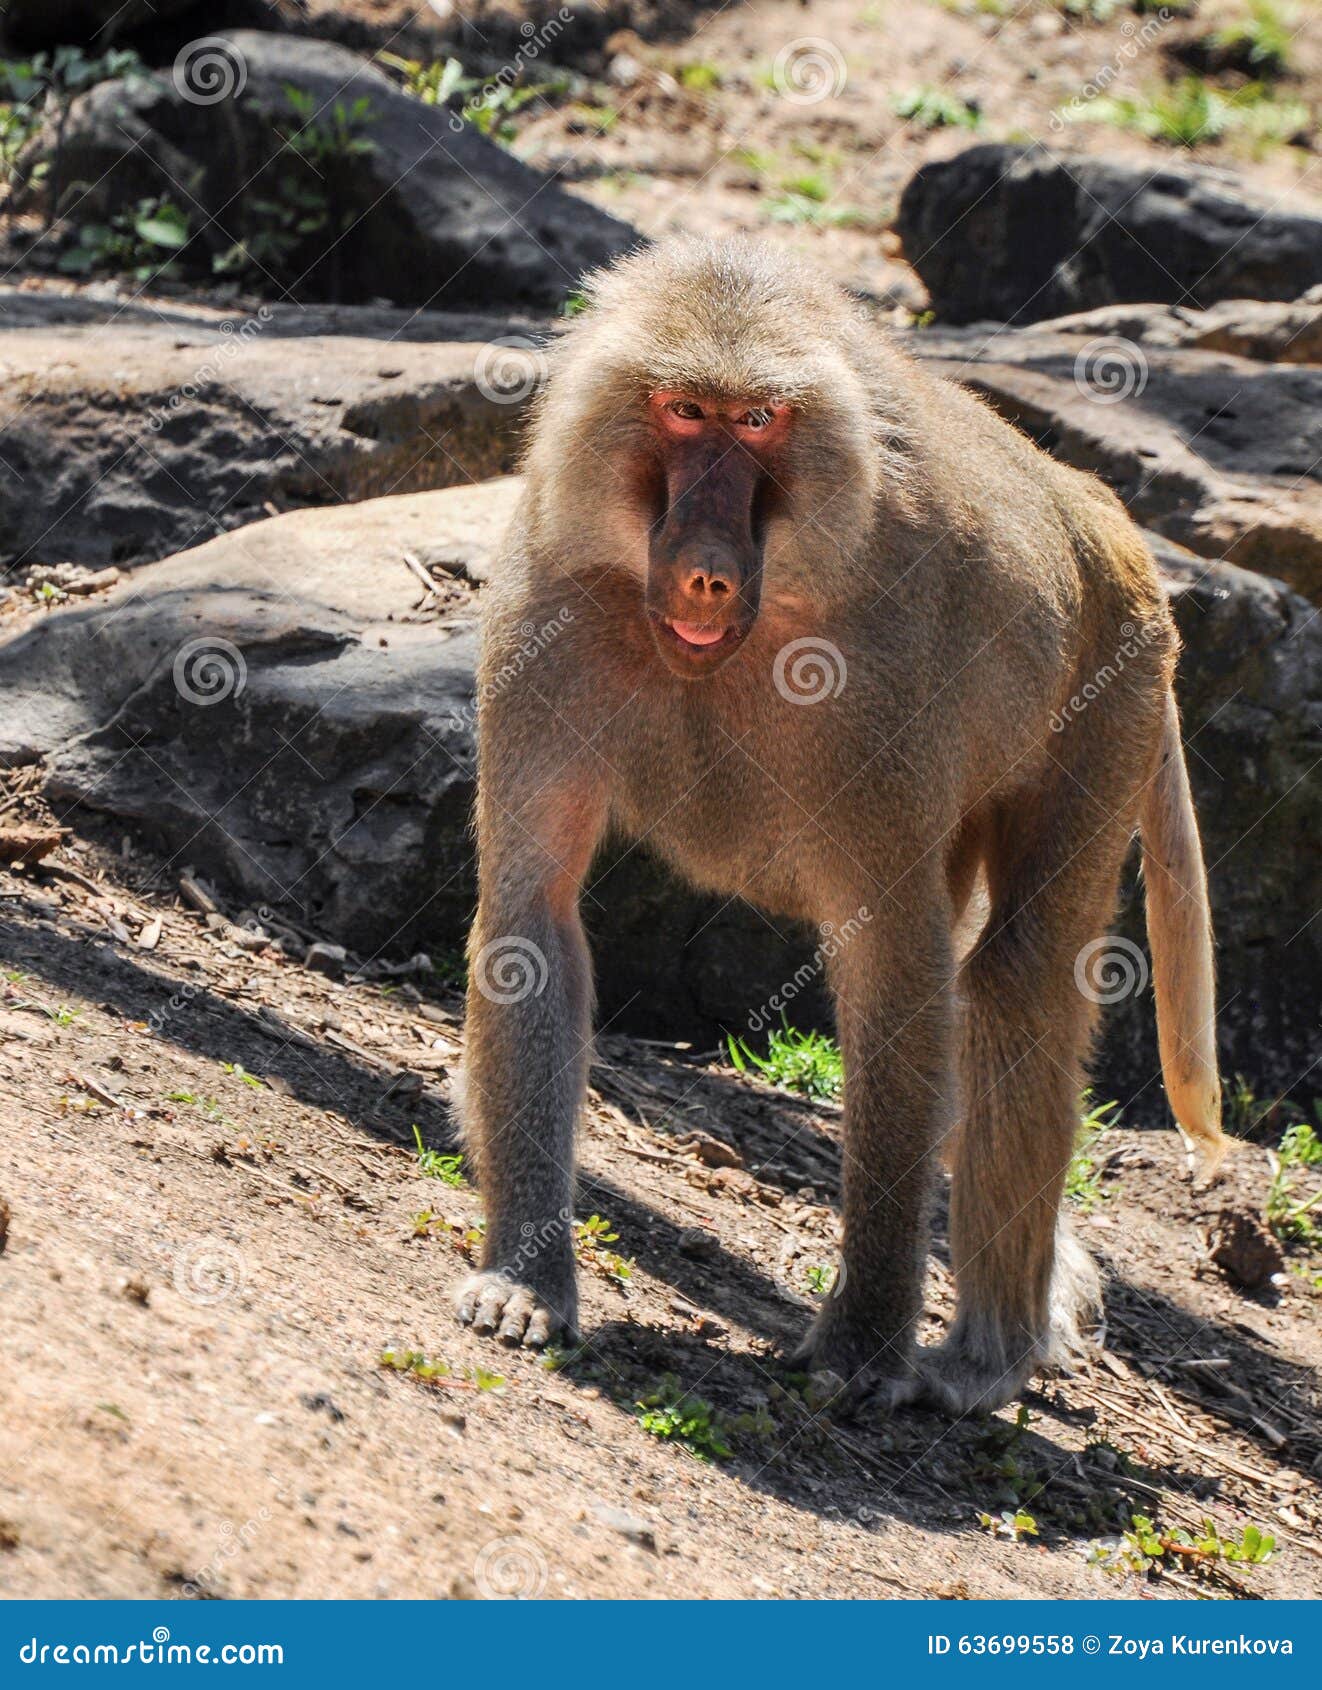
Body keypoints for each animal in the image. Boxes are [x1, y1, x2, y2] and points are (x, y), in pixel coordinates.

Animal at [454, 237, 1226, 1416]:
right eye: (684, 411)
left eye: (758, 422)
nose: (706, 565)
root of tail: (1102, 519)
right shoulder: (549, 609)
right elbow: (531, 919)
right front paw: (527, 1277)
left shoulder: (876, 690)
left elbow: (894, 967)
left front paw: (863, 1342)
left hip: (1117, 689)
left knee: (1014, 977)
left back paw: (988, 1351)